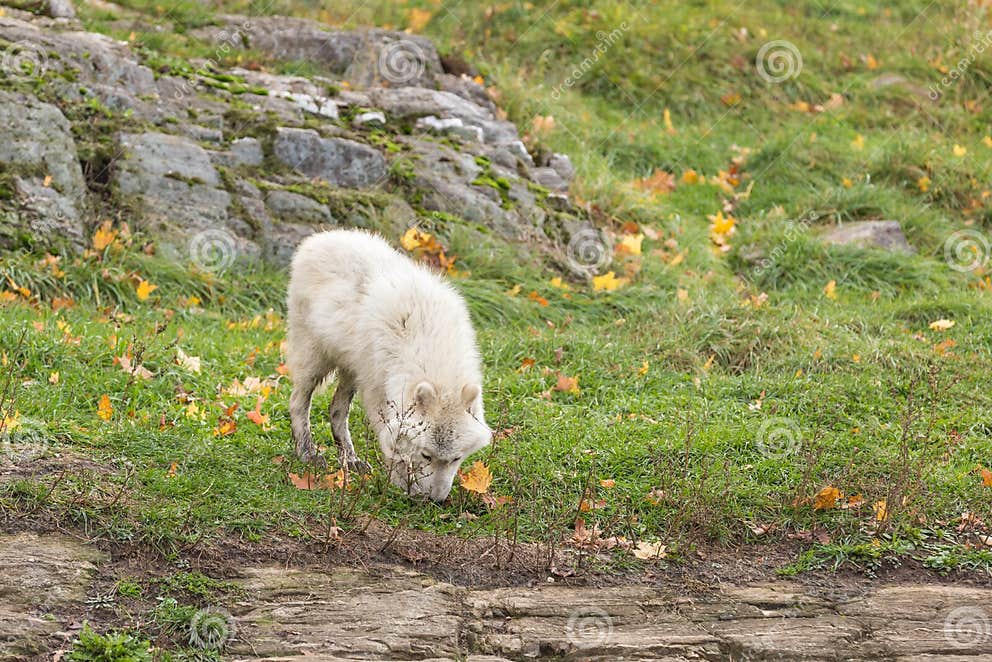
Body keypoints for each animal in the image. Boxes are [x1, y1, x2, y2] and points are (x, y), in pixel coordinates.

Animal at [285, 229, 492, 502]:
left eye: (456, 458)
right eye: (426, 455)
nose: (436, 499)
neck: (426, 339)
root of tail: (319, 237)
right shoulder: (378, 390)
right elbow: (393, 442)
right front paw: (404, 484)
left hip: (353, 371)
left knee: (336, 410)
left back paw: (351, 461)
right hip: (315, 360)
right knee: (298, 402)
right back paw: (307, 452)